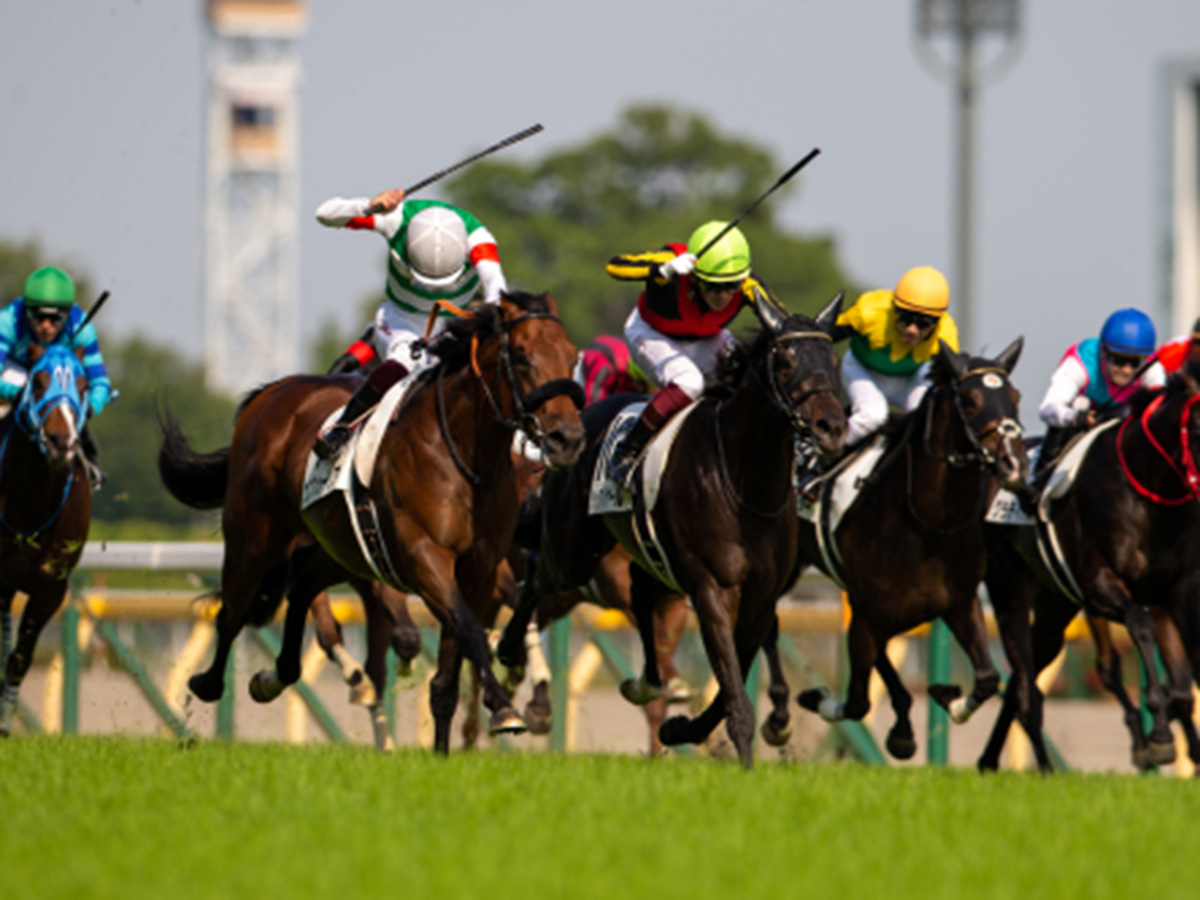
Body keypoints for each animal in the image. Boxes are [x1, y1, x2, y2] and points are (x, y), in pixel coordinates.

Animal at [158, 291, 586, 752]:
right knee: (233, 609)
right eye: (522, 356)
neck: (466, 460)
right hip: (253, 534)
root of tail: (269, 391)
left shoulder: (479, 569)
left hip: (342, 548)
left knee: (302, 582)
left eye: (571, 356)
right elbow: (470, 632)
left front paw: (443, 752)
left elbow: (449, 674)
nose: (568, 439)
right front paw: (504, 709)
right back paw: (206, 682)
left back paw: (277, 675)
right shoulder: (425, 559)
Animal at [498, 293, 849, 768]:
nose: (832, 426)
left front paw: (682, 726)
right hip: (573, 555)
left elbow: (729, 685)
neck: (744, 481)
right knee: (535, 583)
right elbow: (733, 689)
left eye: (833, 359)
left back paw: (644, 683)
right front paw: (743, 759)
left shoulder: (759, 598)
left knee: (641, 596)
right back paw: (510, 652)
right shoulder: (711, 589)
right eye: (786, 360)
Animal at [793, 340, 1028, 759]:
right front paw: (813, 696)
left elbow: (986, 678)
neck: (927, 525)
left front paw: (946, 696)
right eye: (971, 400)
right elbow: (857, 701)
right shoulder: (867, 612)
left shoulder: (959, 603)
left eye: (1015, 396)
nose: (1014, 462)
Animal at [978, 367, 1200, 773]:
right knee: (1025, 675)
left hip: (1056, 604)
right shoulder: (1099, 585)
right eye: (1199, 427)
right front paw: (1159, 739)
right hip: (1010, 585)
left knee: (1027, 668)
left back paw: (989, 760)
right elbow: (1140, 628)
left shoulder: (1179, 589)